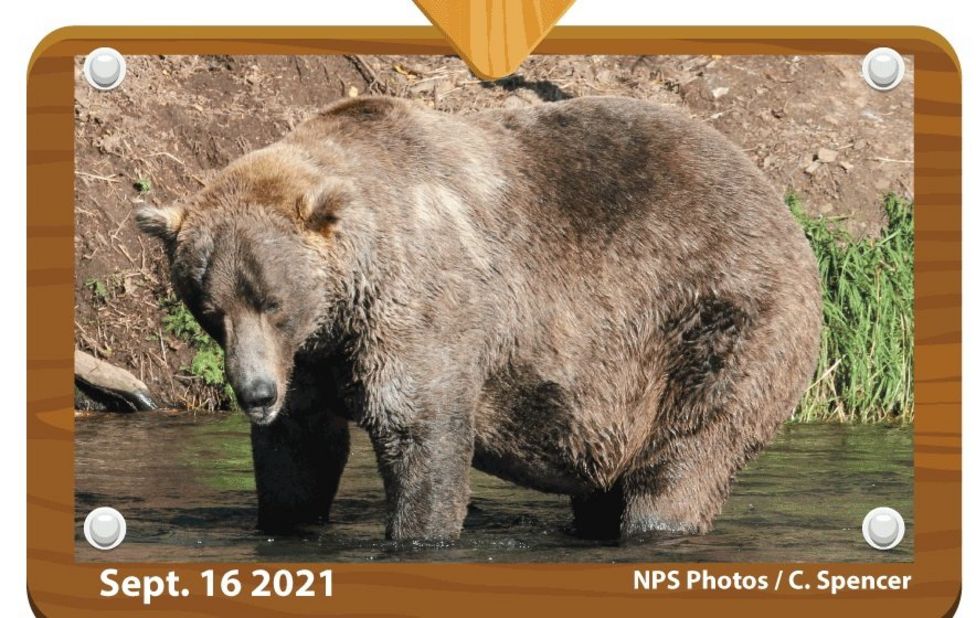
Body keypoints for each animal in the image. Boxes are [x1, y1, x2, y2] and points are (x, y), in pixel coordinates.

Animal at [136, 95, 822, 542]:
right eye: (210, 310)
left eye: (273, 301)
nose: (255, 393)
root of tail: (777, 201)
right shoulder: (313, 359)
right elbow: (300, 452)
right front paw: (286, 517)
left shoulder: (422, 308)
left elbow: (421, 431)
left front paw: (418, 532)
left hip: (717, 318)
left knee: (686, 453)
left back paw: (657, 522)